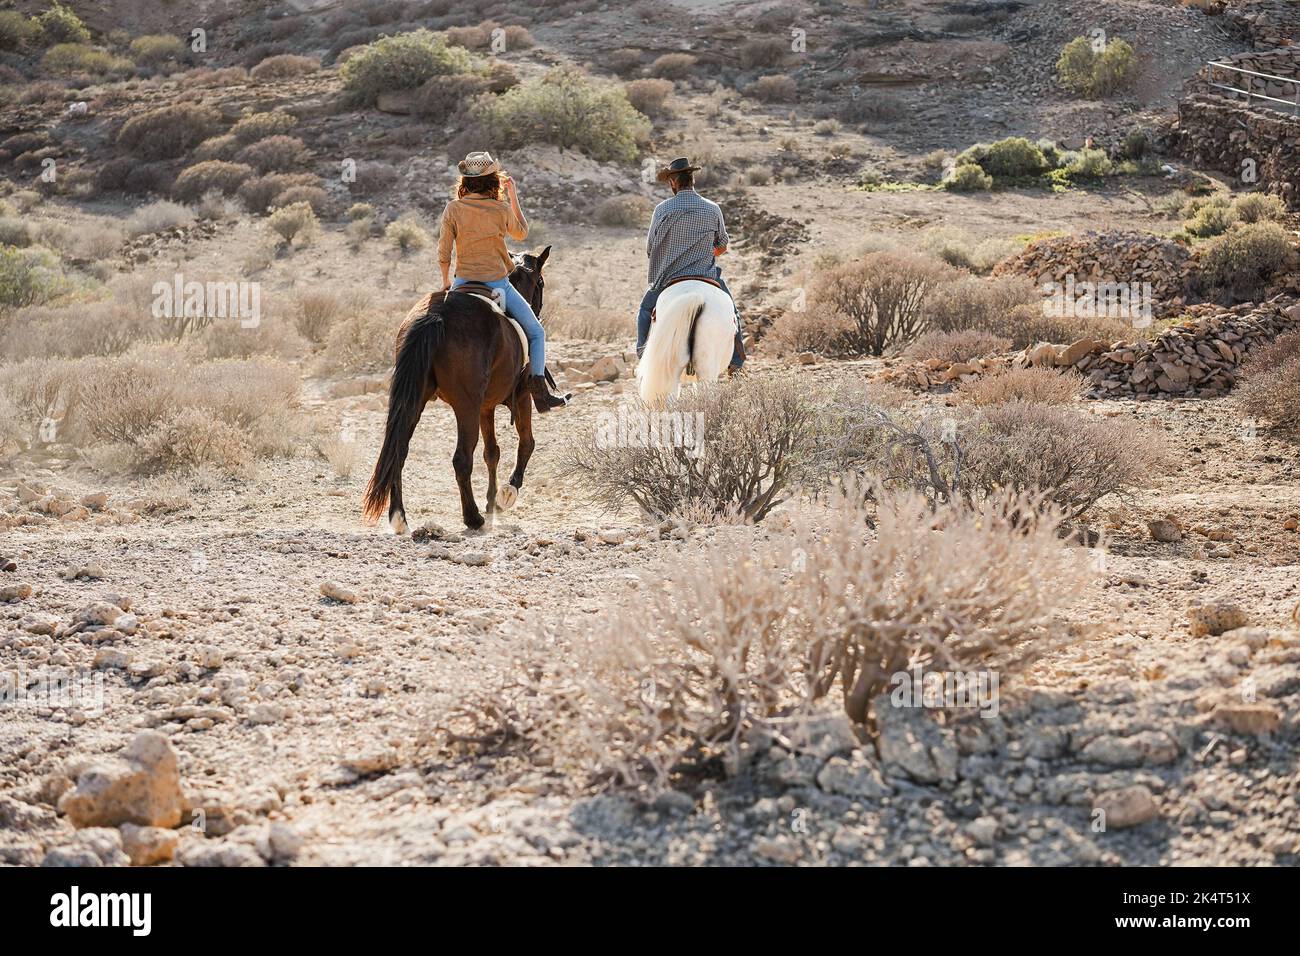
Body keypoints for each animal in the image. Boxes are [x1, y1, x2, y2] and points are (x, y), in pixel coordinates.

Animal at [362, 247, 551, 532]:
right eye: (540, 283)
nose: (537, 312)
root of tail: (436, 315)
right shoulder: (521, 395)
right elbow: (526, 443)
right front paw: (507, 493)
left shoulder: (485, 407)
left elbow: (492, 452)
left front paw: (492, 500)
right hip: (466, 406)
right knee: (461, 458)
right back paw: (472, 517)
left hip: (416, 401)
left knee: (399, 451)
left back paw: (399, 517)